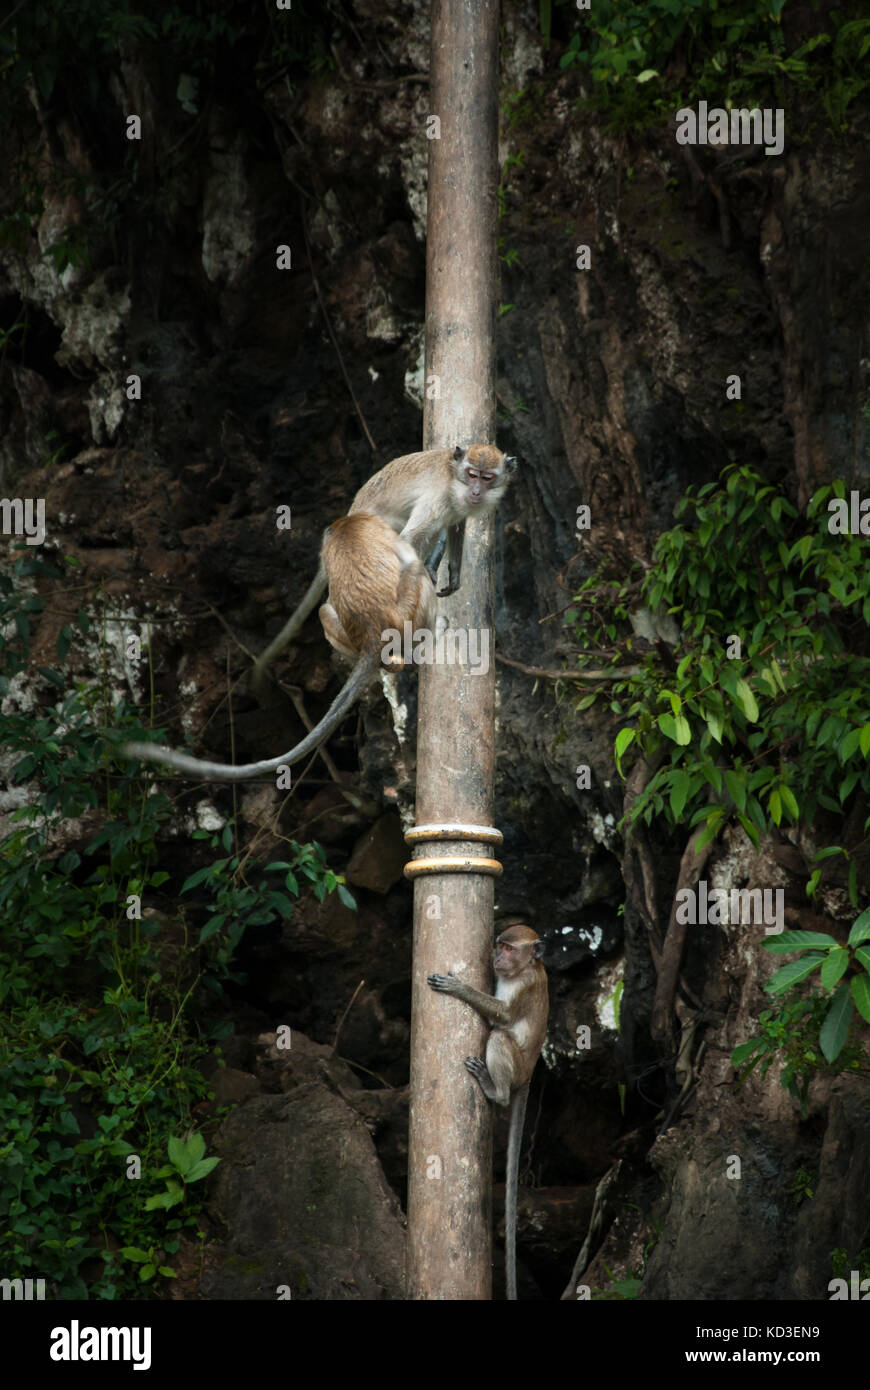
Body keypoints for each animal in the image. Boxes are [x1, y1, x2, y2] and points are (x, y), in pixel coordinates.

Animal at [123, 513, 435, 781]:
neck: (346, 525)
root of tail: (372, 638)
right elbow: (409, 557)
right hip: (409, 612)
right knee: (415, 569)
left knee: (324, 611)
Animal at [251, 444, 516, 692]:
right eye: (472, 474)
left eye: (487, 477)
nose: (476, 491)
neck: (453, 476)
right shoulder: (438, 498)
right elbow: (411, 538)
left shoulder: (455, 505)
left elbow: (456, 524)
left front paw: (454, 573)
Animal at [428, 923, 548, 1301]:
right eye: (499, 945)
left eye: (509, 948)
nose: (497, 957)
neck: (524, 970)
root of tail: (530, 1074)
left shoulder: (525, 986)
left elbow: (505, 1016)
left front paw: (460, 988)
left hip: (516, 1066)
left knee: (499, 1036)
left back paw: (498, 1092)